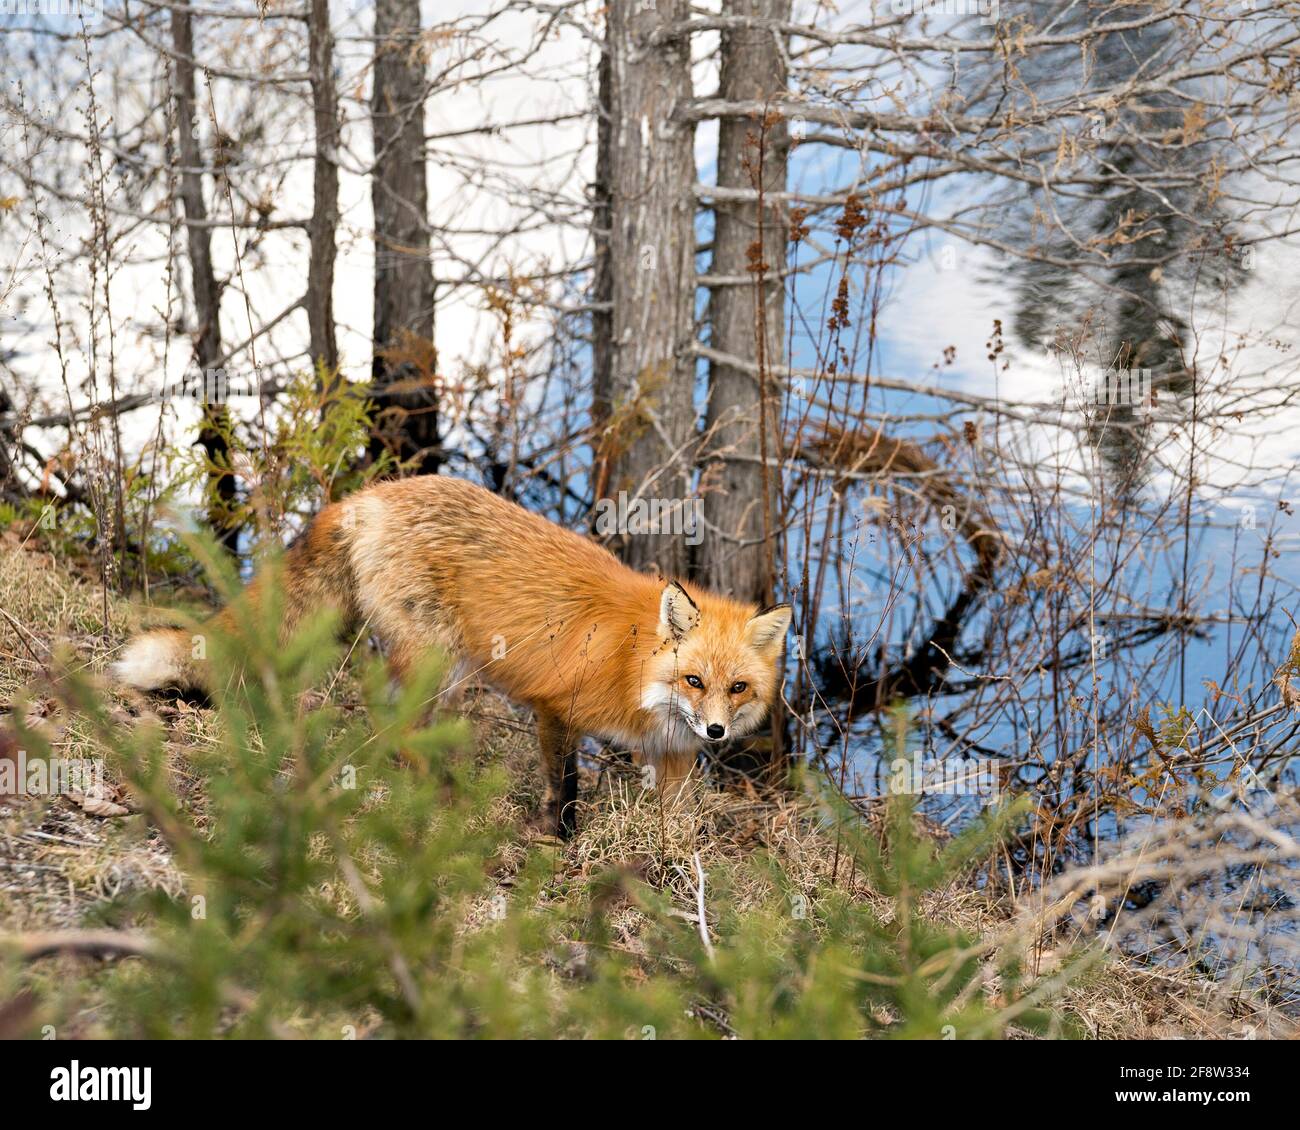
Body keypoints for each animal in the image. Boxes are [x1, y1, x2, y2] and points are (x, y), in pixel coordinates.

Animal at [112, 475, 792, 836]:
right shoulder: (556, 709)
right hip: (437, 661)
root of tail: (369, 495)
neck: (635, 669)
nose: (715, 730)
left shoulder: (671, 755)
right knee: (388, 713)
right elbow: (566, 786)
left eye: (737, 689)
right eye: (695, 679)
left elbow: (671, 816)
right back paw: (426, 794)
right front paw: (562, 840)